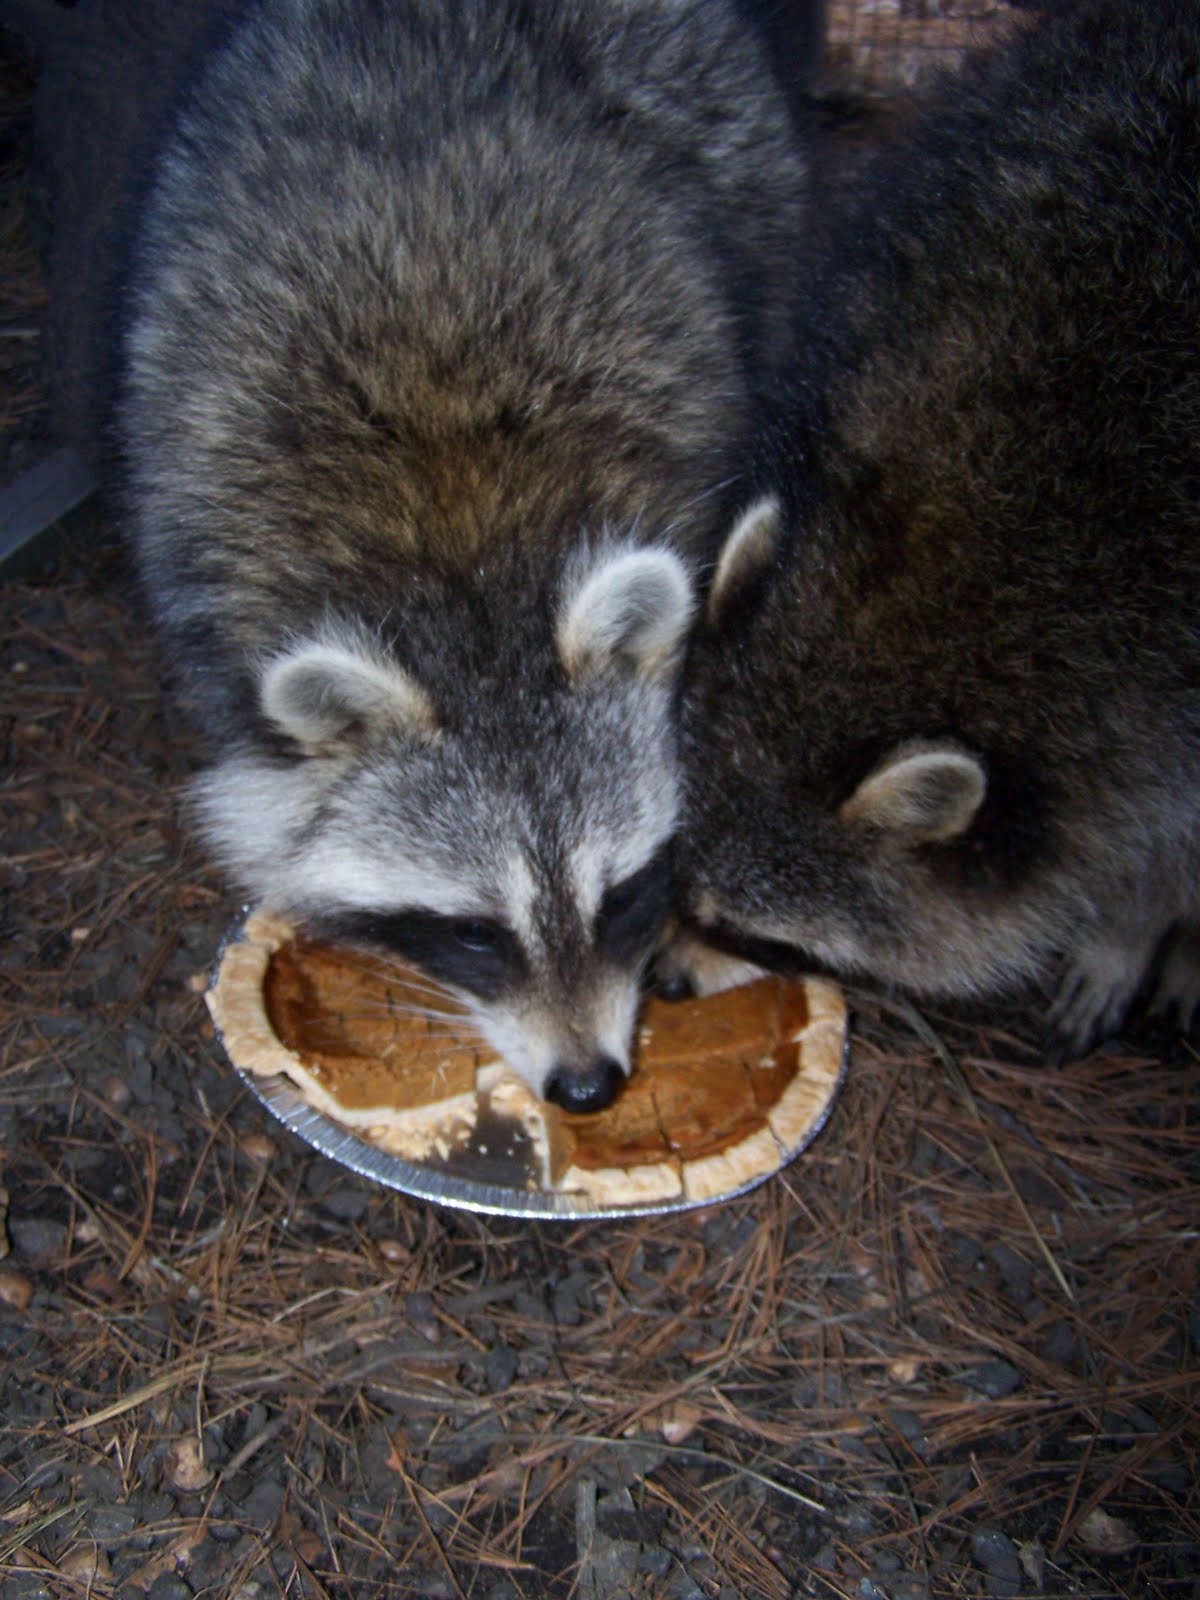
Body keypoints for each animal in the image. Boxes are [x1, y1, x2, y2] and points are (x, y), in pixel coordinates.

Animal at [116, 0, 816, 1110]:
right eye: (476, 933)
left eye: (624, 894)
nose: (588, 1086)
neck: (466, 572)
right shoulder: (192, 545)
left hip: (738, 138)